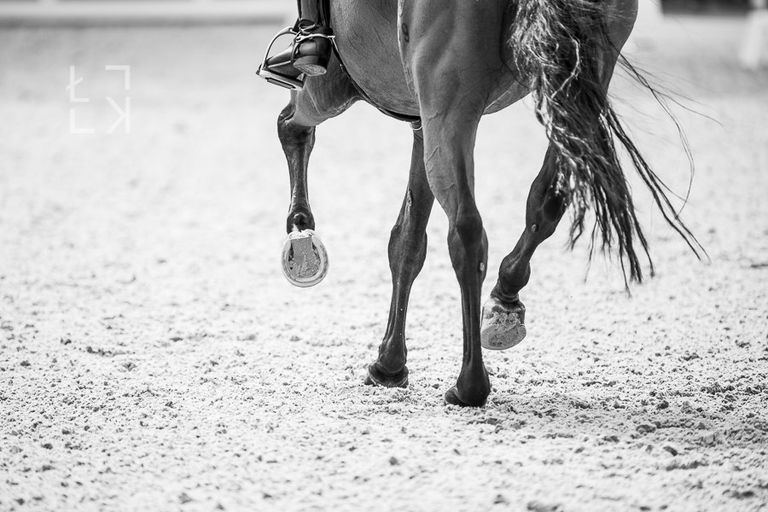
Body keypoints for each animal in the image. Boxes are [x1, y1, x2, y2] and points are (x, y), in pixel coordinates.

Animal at [272, 0, 700, 407]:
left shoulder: (335, 85)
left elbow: (291, 125)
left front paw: (301, 234)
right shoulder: (421, 121)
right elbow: (407, 242)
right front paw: (390, 363)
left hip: (444, 106)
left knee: (467, 231)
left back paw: (470, 385)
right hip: (578, 85)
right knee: (547, 201)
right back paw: (504, 302)